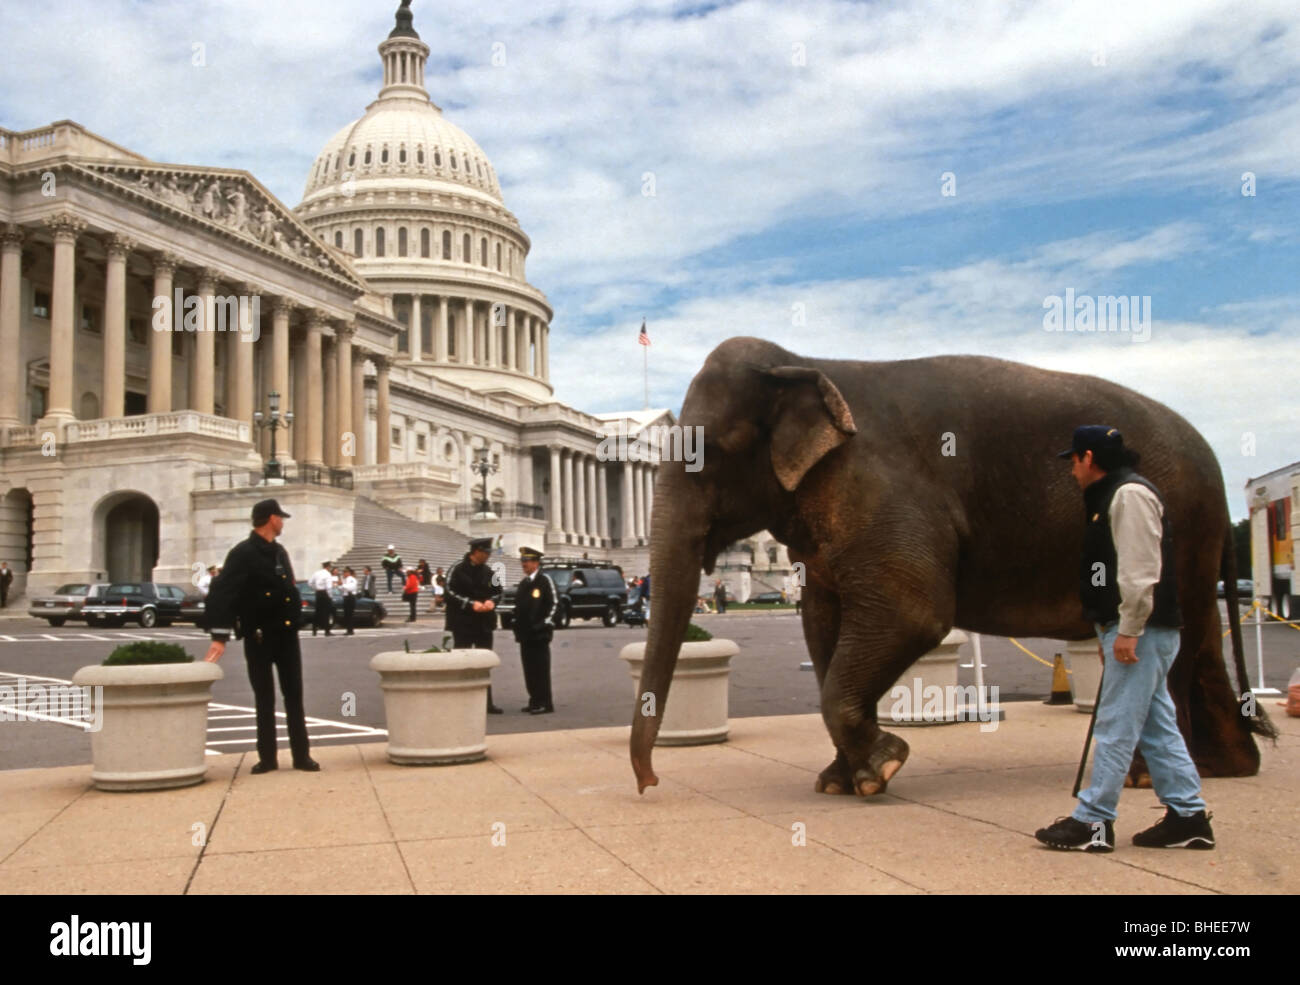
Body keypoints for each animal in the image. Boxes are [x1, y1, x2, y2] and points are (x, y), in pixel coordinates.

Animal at [630, 337, 1275, 797]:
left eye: (708, 451)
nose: (650, 782)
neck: (806, 362)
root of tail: (1217, 472)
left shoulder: (881, 490)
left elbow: (912, 612)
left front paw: (884, 768)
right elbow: (821, 626)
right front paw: (842, 782)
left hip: (1171, 528)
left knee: (1171, 654)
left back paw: (1147, 779)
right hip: (1192, 541)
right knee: (1198, 641)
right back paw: (1226, 769)